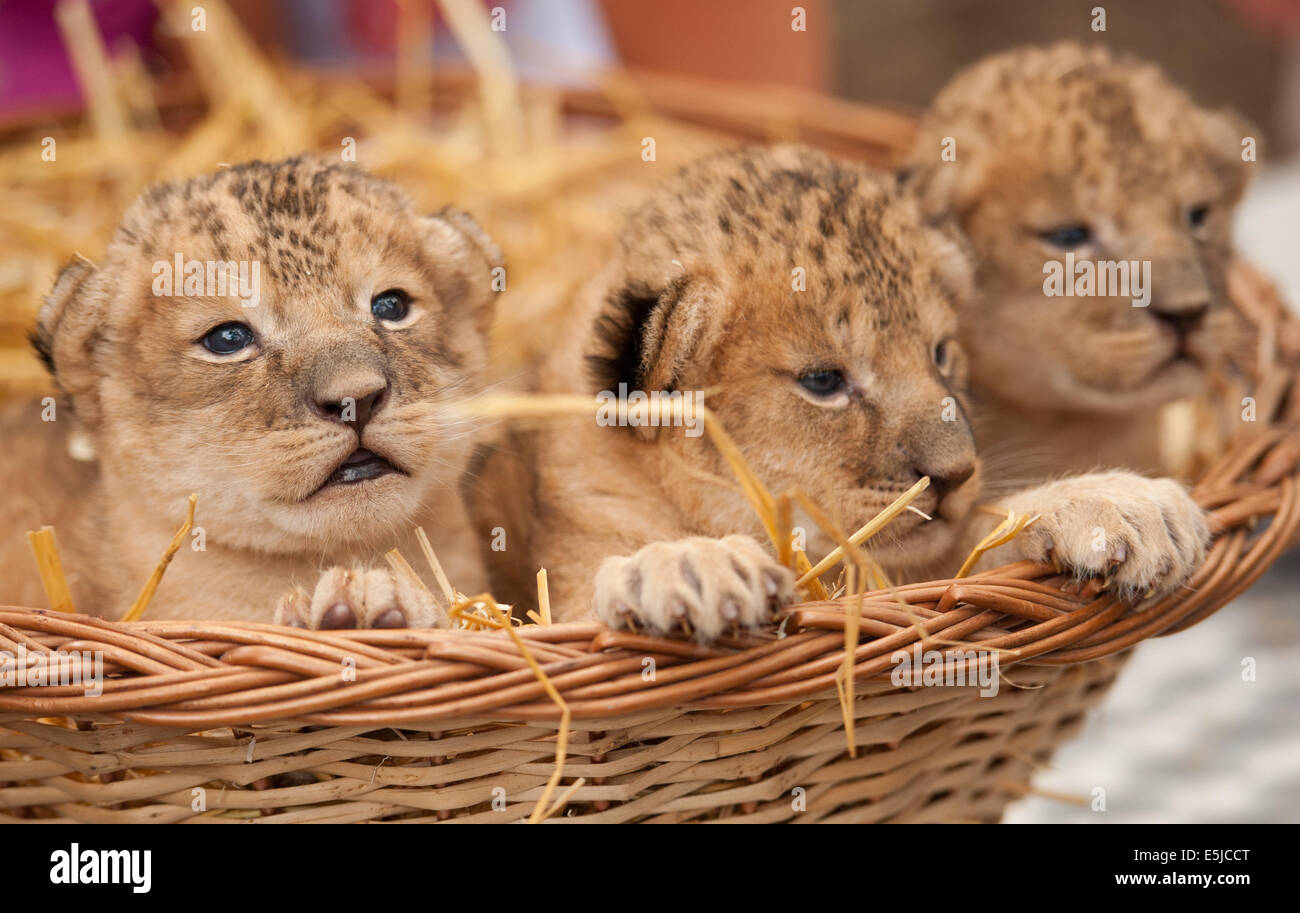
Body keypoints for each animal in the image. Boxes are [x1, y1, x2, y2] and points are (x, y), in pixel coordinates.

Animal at [473, 144, 1210, 640]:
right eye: (824, 382)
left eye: (941, 354)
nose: (955, 473)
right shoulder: (559, 599)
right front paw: (690, 566)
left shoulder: (908, 570)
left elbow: (978, 537)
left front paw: (1128, 505)